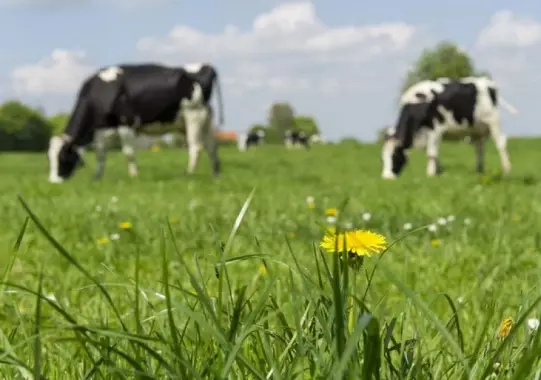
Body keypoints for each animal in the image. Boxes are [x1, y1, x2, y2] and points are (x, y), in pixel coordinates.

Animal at [47, 61, 224, 183]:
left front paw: (134, 176)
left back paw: (189, 174)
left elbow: (128, 153)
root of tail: (205, 66)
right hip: (204, 117)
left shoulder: (126, 123)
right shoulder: (101, 130)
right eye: (50, 158)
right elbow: (101, 155)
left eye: (63, 157)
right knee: (212, 145)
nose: (54, 182)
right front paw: (97, 178)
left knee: (196, 146)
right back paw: (216, 174)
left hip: (193, 114)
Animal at [380, 76, 520, 180]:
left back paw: (507, 169)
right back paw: (479, 170)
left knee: (500, 143)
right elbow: (433, 154)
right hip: (477, 129)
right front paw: (438, 171)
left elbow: (431, 153)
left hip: (493, 121)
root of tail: (487, 82)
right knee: (479, 149)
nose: (386, 178)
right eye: (383, 158)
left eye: (395, 156)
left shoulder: (435, 128)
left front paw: (430, 174)